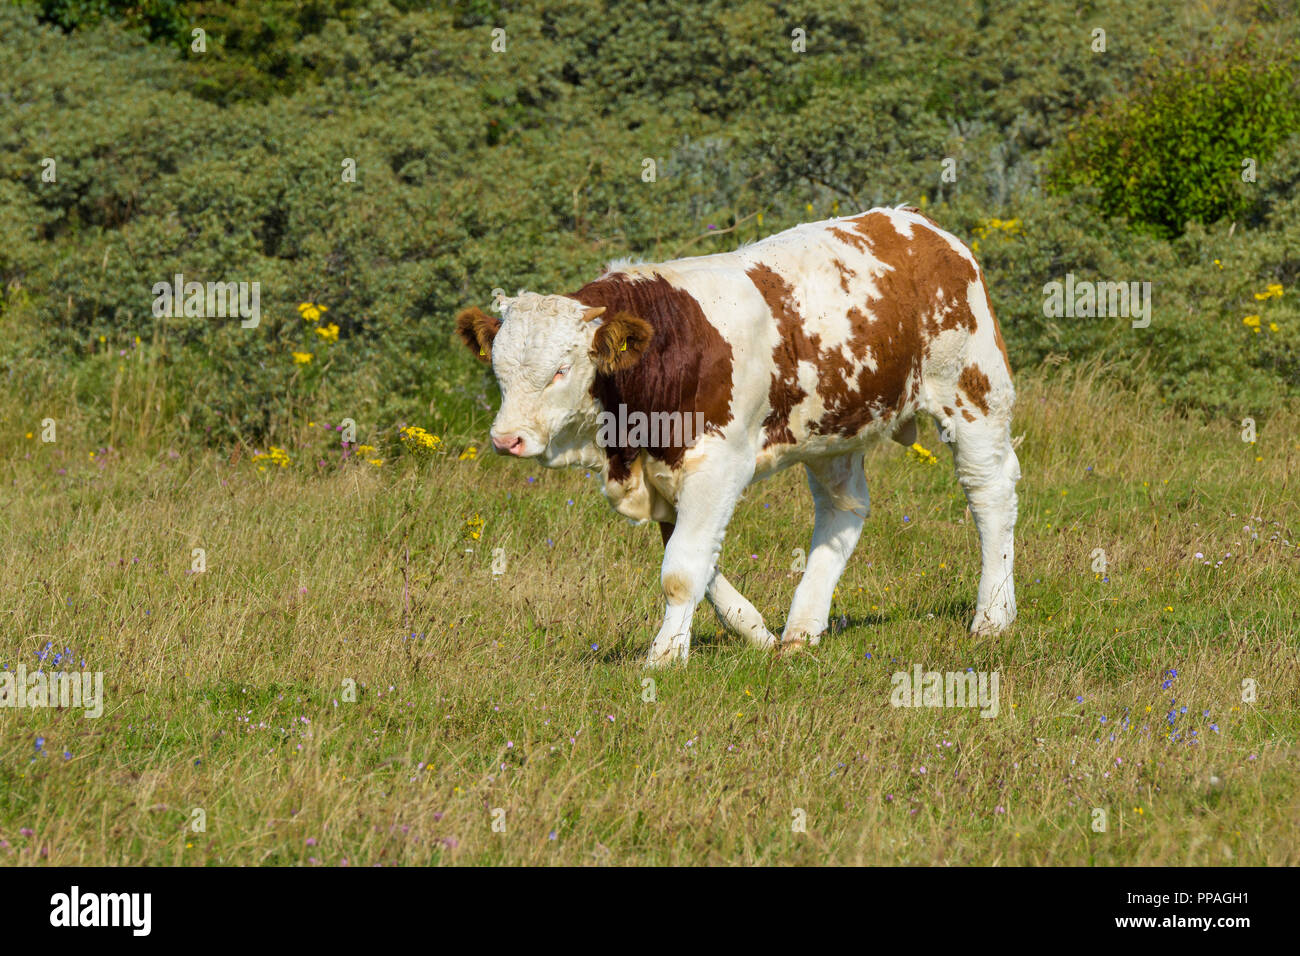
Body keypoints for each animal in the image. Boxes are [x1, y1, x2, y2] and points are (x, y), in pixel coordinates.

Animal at [455, 206, 1020, 666]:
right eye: (498, 370)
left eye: (560, 369)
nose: (507, 439)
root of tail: (915, 222)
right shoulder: (663, 470)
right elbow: (698, 560)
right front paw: (756, 633)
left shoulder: (717, 464)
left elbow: (682, 568)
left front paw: (664, 658)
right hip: (832, 427)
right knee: (843, 509)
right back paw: (801, 631)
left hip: (974, 392)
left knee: (990, 494)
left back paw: (992, 619)